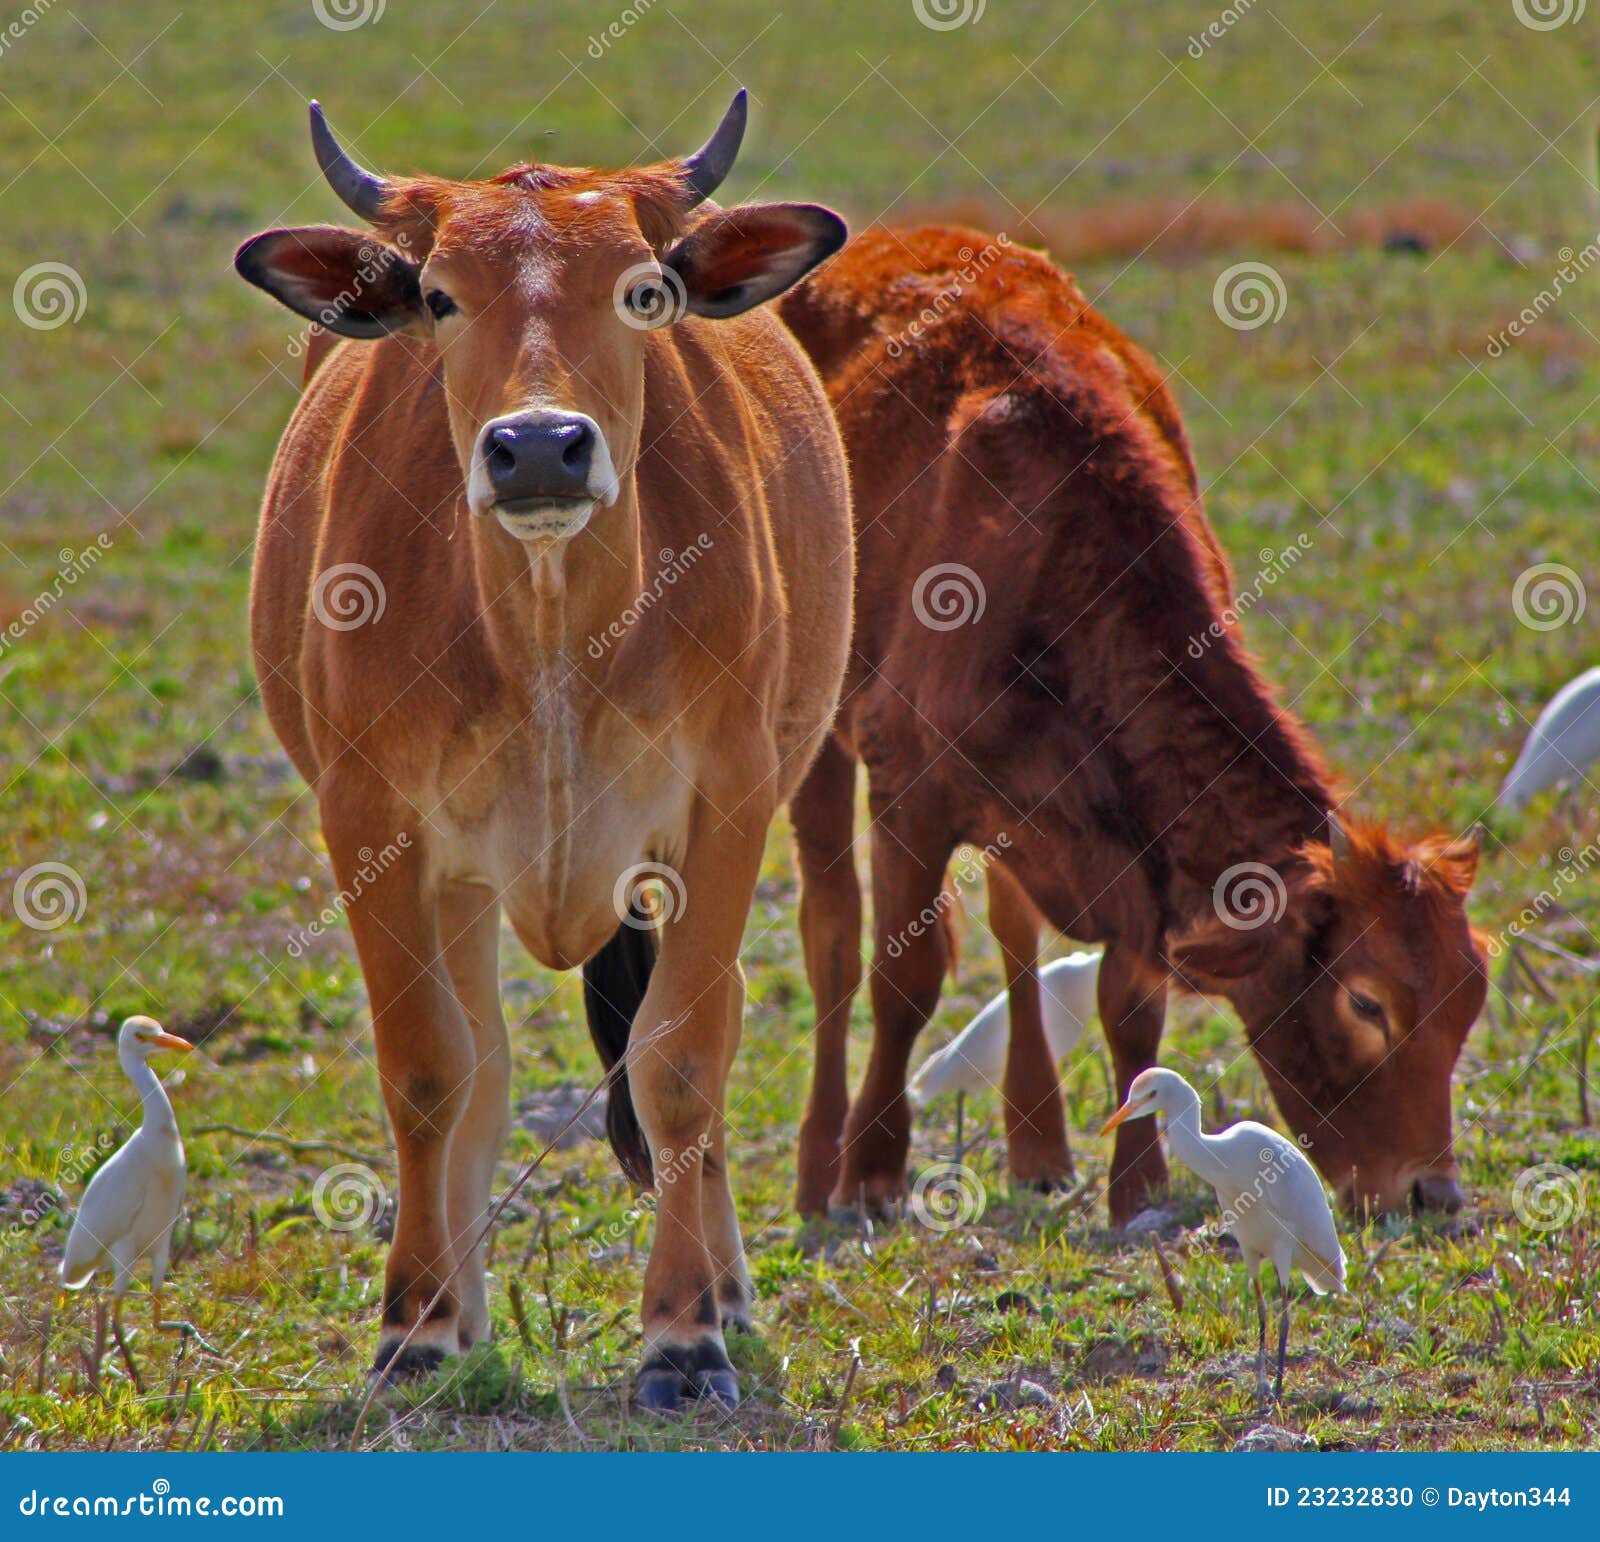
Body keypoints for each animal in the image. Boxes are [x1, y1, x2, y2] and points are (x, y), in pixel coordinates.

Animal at [234, 93, 853, 1410]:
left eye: (643, 290)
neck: (553, 627)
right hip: (459, 885)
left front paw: (683, 1334)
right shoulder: (373, 823)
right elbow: (430, 1072)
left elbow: (680, 1063)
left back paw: (724, 1286)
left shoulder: (726, 807)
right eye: (439, 297)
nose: (535, 447)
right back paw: (460, 1311)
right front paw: (415, 1330)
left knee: (703, 1043)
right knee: (483, 1067)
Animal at [777, 225, 1487, 1227]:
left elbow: (1128, 1005)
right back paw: (818, 1166)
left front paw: (1138, 1184)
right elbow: (901, 980)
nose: (1431, 1192)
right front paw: (871, 1174)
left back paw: (1037, 1142)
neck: (1055, 556)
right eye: (1366, 1004)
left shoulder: (1130, 853)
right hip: (818, 736)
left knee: (1014, 941)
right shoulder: (909, 788)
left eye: (1468, 1003)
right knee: (833, 936)